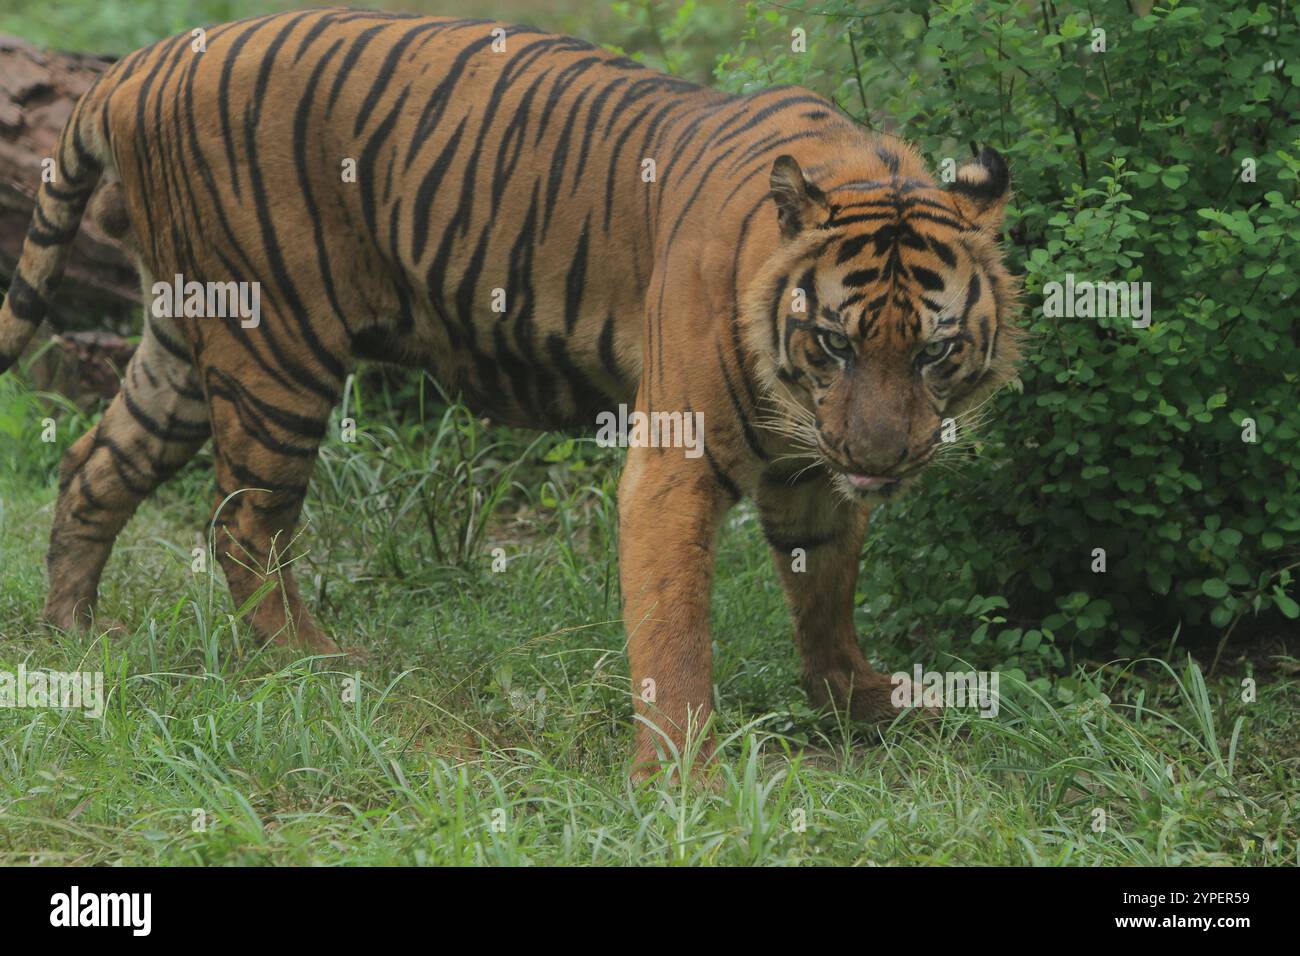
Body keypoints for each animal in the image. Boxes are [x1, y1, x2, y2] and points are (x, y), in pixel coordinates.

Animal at [0, 9, 1020, 777]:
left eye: (933, 354)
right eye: (836, 343)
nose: (881, 460)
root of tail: (141, 61)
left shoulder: (810, 472)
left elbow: (826, 591)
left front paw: (861, 704)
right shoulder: (678, 460)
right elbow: (675, 631)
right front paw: (682, 779)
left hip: (183, 337)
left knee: (93, 467)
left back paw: (73, 636)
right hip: (273, 348)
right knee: (243, 522)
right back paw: (313, 662)